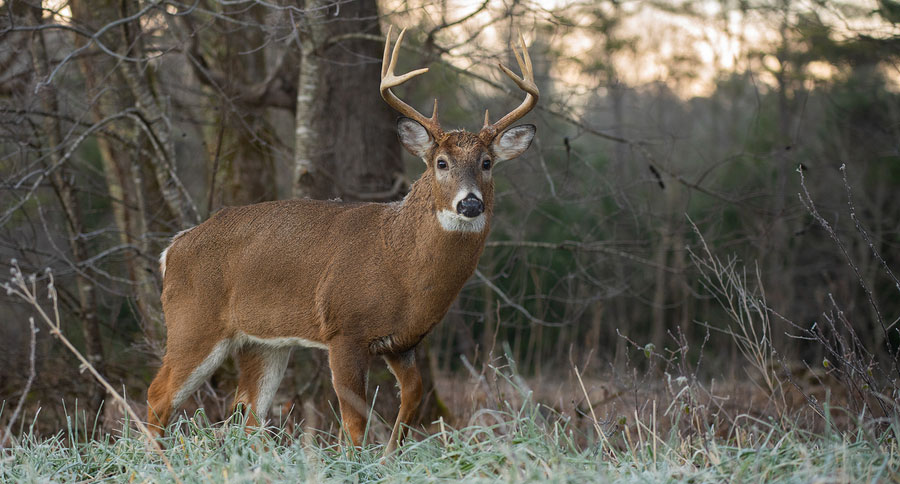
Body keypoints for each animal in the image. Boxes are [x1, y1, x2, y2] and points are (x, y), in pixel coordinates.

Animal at [146, 27, 538, 456]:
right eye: (441, 163)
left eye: (487, 163)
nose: (470, 203)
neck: (401, 264)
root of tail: (173, 249)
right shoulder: (344, 329)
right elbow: (354, 422)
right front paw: (359, 461)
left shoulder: (403, 341)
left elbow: (412, 401)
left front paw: (389, 457)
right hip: (192, 321)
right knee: (158, 396)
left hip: (263, 342)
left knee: (247, 417)